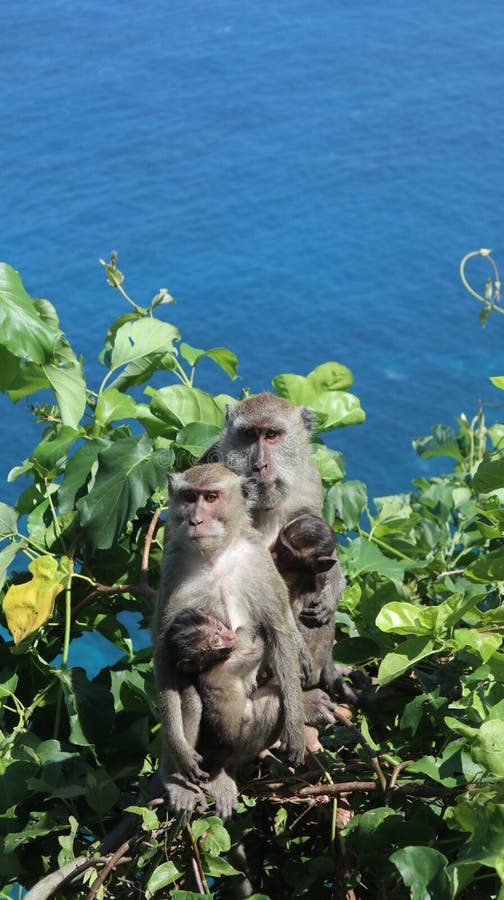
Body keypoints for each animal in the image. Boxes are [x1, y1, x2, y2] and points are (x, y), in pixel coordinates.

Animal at [153, 463, 307, 820]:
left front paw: (296, 727)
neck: (215, 556)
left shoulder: (259, 560)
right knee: (188, 698)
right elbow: (163, 650)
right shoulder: (173, 562)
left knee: (270, 702)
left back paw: (222, 773)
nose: (195, 520)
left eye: (211, 497)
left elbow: (278, 631)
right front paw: (179, 752)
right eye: (188, 497)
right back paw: (177, 779)